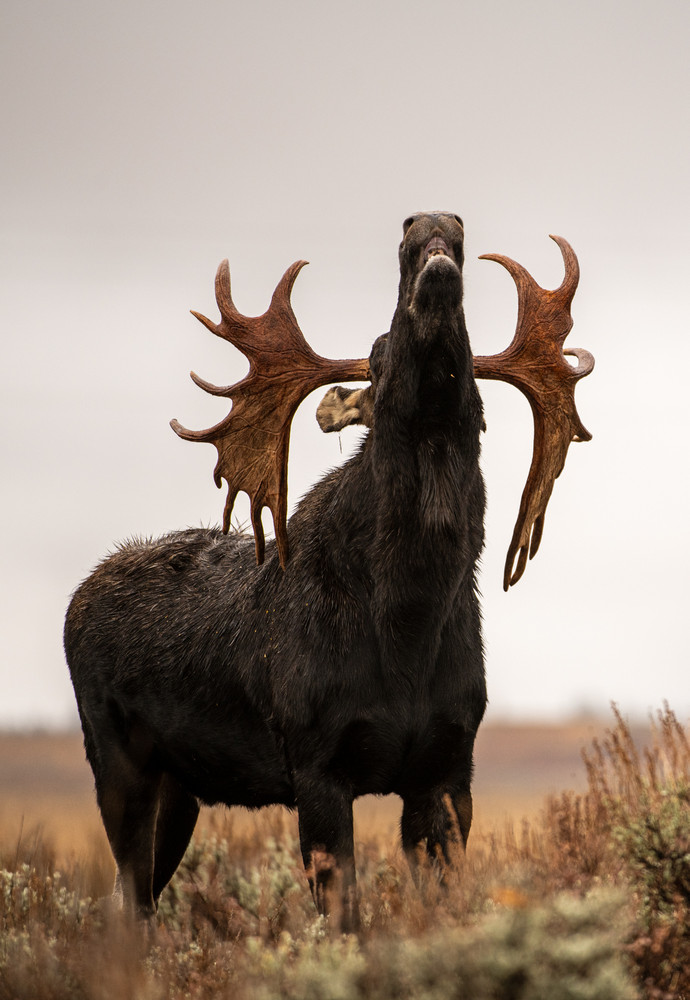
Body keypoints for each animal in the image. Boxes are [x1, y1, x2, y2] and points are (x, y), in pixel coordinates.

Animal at [64, 213, 593, 931]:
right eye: (376, 356)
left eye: (475, 382)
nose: (434, 231)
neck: (411, 622)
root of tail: (76, 600)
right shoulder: (316, 763)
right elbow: (344, 919)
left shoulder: (448, 767)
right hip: (116, 759)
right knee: (126, 901)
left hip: (181, 786)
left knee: (137, 899)